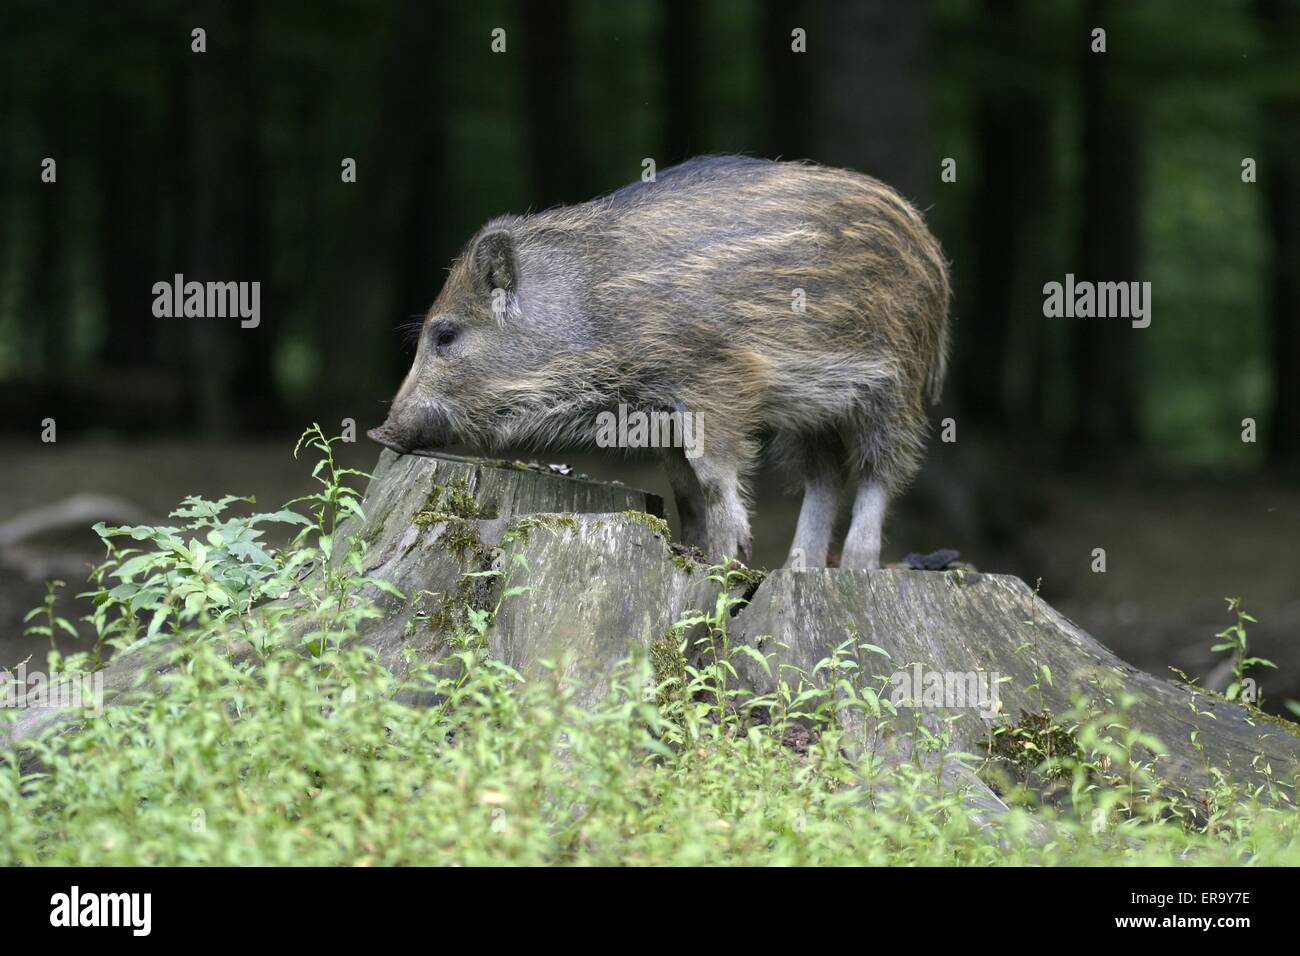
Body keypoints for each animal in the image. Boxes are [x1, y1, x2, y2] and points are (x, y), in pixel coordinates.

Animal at [369, 155, 950, 569]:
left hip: (895, 383)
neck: (592, 316)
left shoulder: (718, 381)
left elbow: (712, 474)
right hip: (813, 408)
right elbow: (684, 485)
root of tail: (927, 239)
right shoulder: (659, 413)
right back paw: (797, 570)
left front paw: (728, 561)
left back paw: (854, 568)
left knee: (881, 469)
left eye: (445, 335)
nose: (380, 432)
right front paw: (695, 554)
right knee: (825, 474)